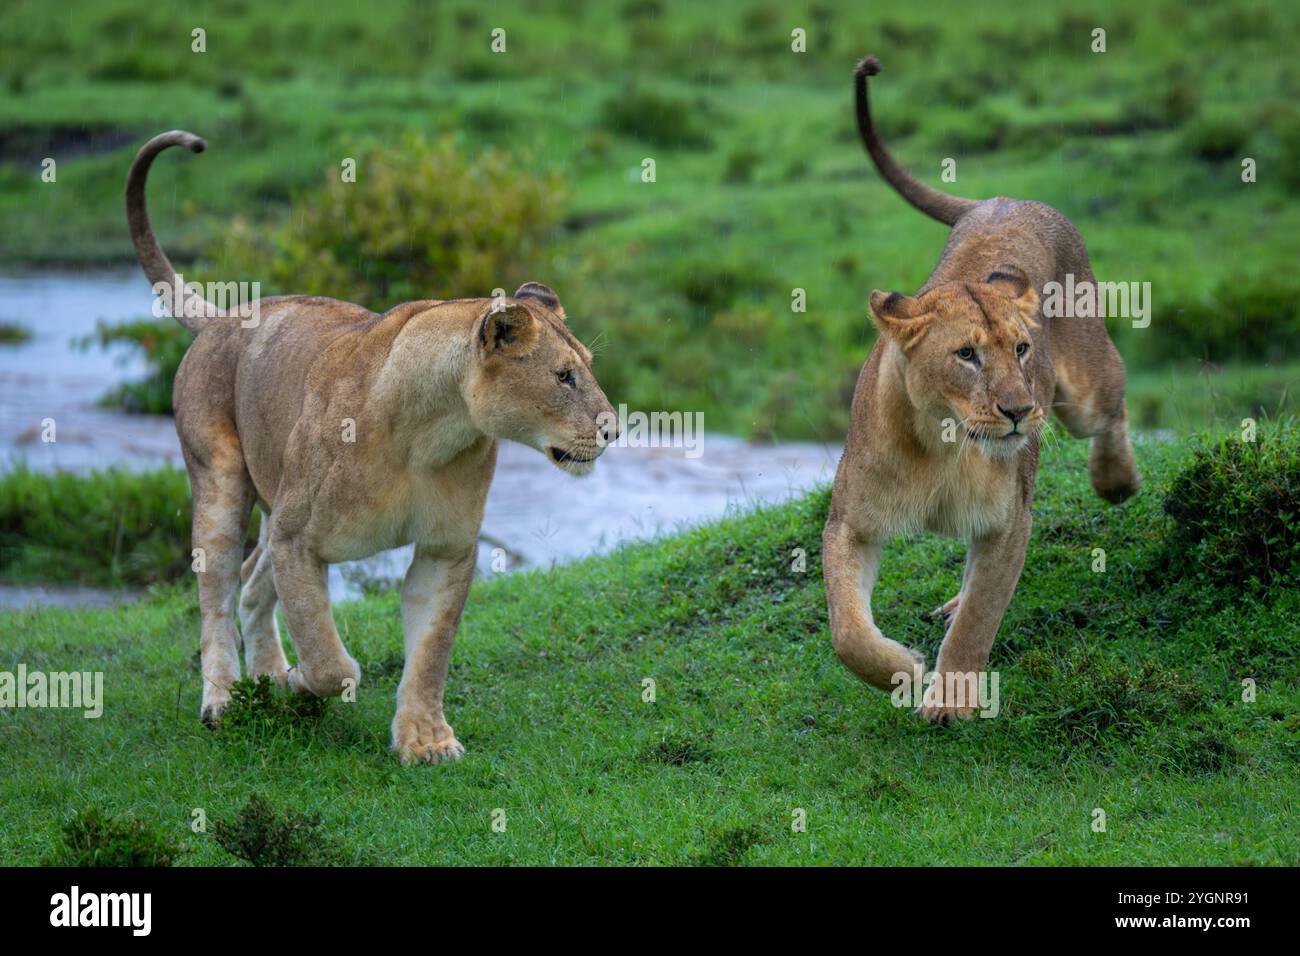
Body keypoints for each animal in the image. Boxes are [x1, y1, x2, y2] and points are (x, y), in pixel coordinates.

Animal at [127, 130, 617, 763]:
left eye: (587, 366)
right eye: (563, 376)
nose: (613, 429)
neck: (431, 434)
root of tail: (224, 316)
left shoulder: (446, 548)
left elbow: (430, 652)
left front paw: (426, 741)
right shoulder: (298, 538)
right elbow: (328, 658)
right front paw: (302, 683)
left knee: (255, 580)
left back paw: (266, 679)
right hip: (221, 483)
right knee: (218, 590)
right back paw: (226, 700)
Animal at [823, 58, 1141, 722]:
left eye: (1021, 349)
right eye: (965, 355)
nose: (1019, 410)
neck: (942, 444)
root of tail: (1003, 198)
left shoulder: (1009, 521)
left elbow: (979, 621)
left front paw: (950, 697)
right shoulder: (849, 523)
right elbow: (847, 630)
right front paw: (902, 668)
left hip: (1085, 388)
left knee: (1114, 402)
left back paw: (1116, 481)